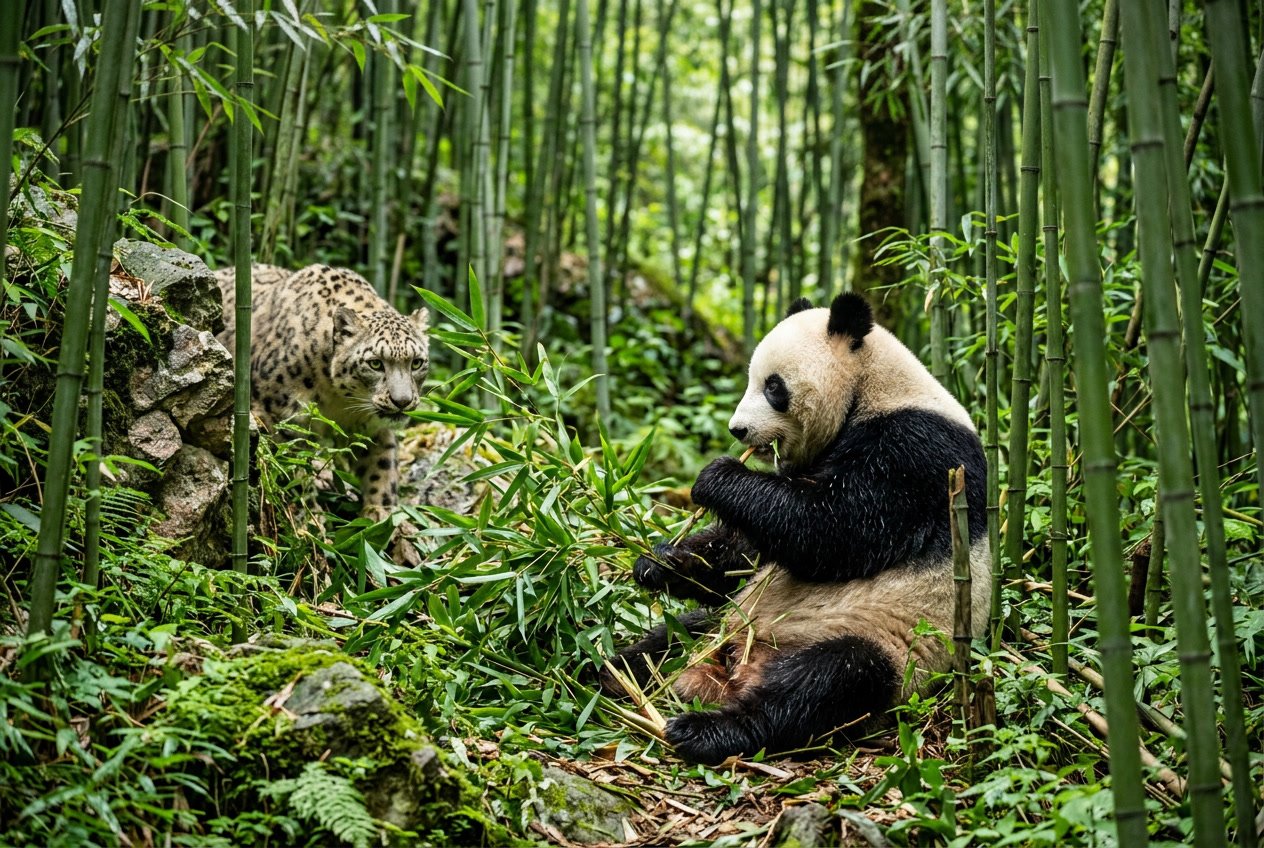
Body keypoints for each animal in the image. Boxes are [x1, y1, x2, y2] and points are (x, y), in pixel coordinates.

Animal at [601, 293, 992, 765]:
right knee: (671, 637)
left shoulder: (918, 455)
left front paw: (717, 477)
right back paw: (609, 672)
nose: (738, 429)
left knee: (828, 682)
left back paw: (706, 730)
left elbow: (833, 530)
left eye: (774, 387)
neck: (872, 388)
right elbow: (750, 549)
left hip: (891, 647)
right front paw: (662, 561)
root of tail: (738, 666)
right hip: (724, 622)